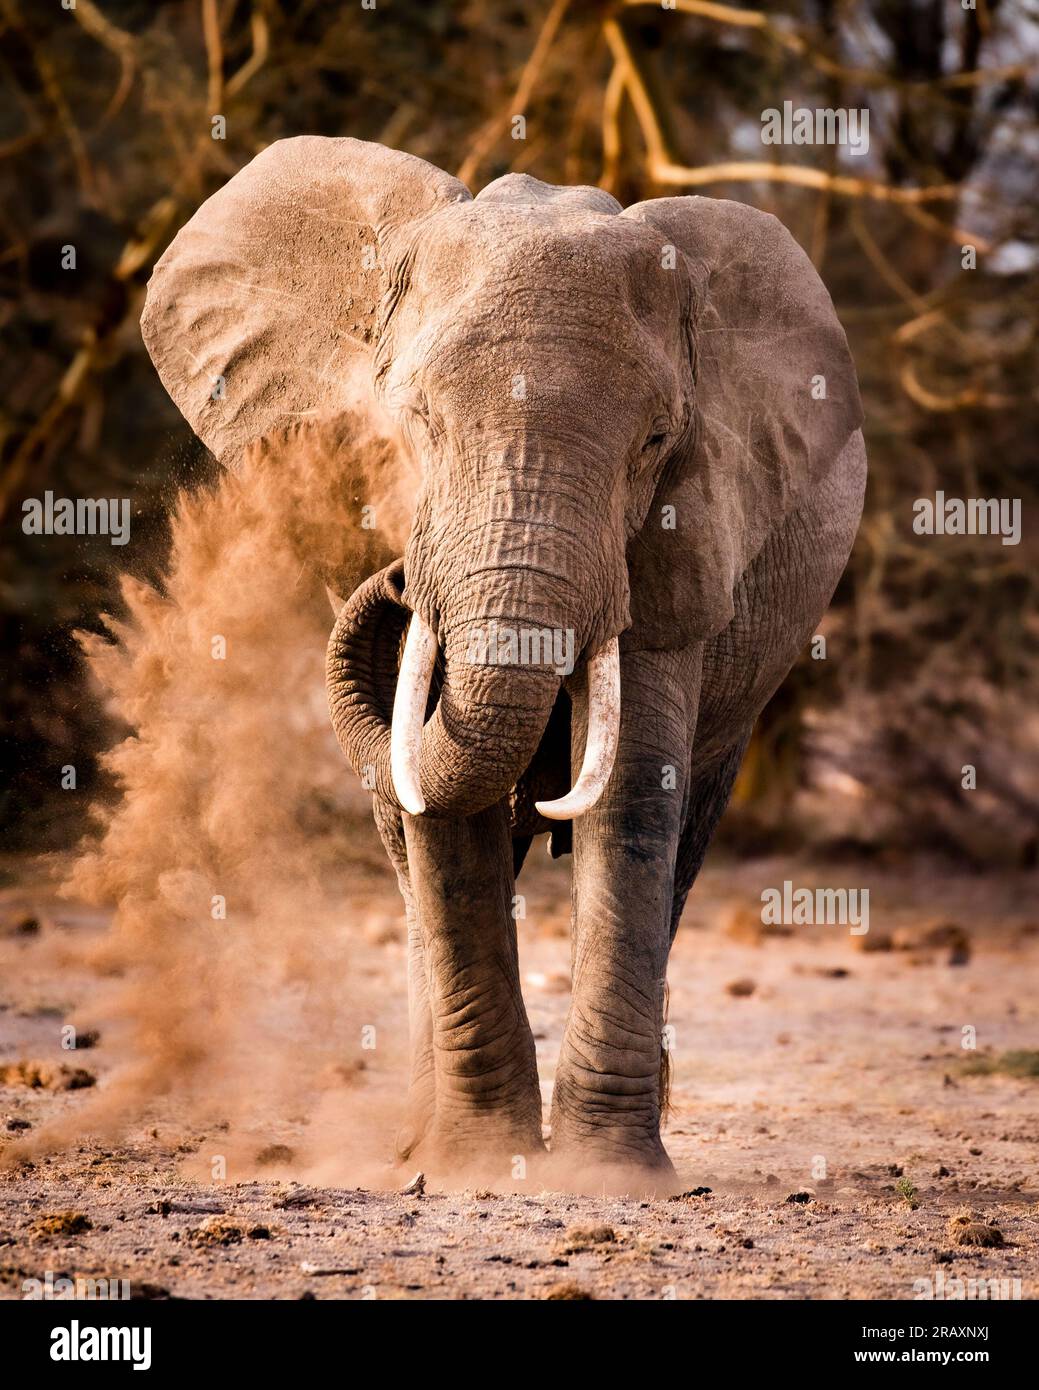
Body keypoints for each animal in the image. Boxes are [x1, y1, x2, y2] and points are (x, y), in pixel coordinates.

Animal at [141, 136, 865, 1192]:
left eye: (656, 440)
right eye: (413, 421)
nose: (396, 576)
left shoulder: (683, 539)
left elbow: (634, 794)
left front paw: (606, 1176)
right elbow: (438, 815)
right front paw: (477, 1165)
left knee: (687, 828)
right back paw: (413, 1135)